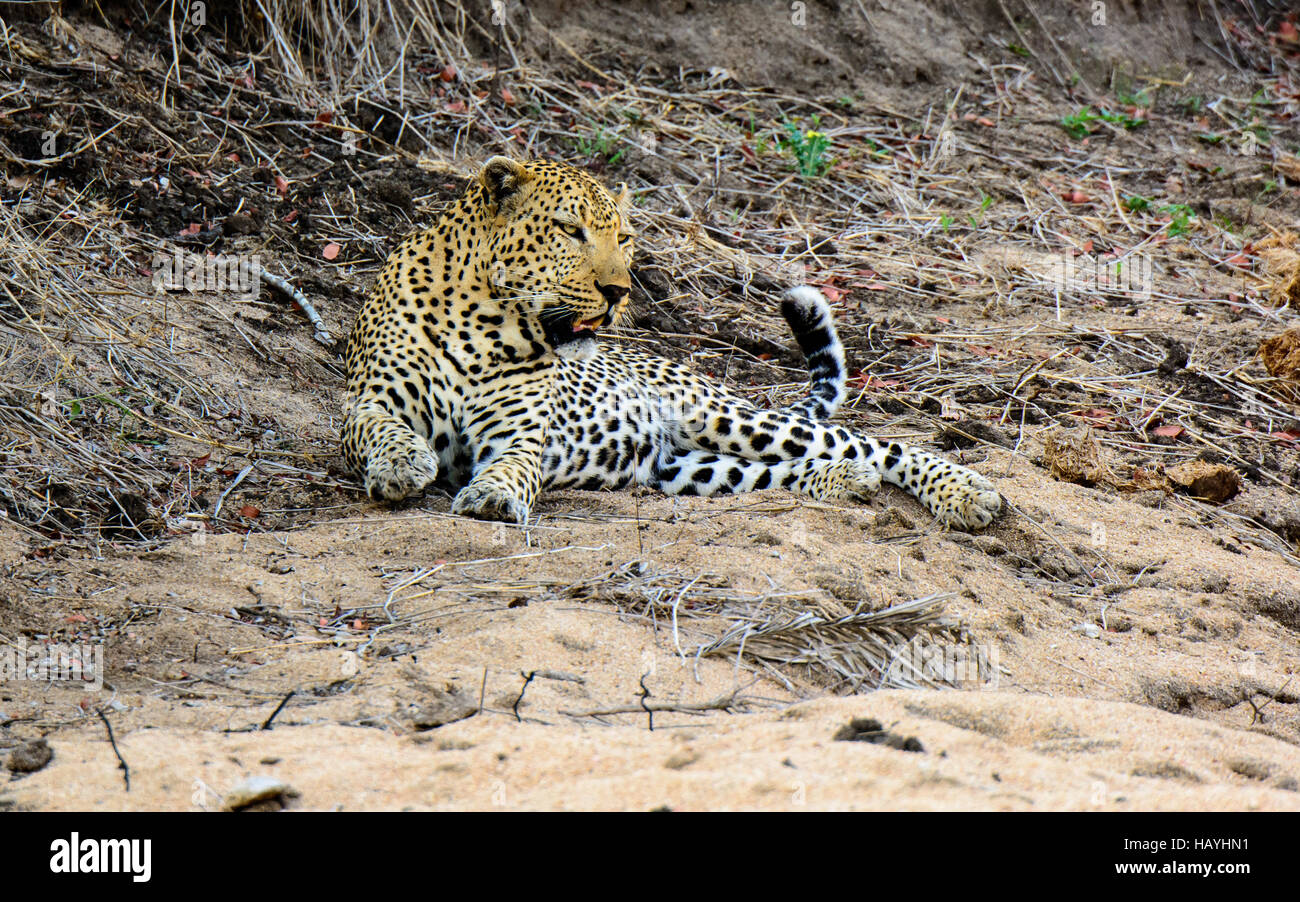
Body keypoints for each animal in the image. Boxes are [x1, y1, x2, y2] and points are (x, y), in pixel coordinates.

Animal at [341, 156, 1001, 530]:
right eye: (569, 230)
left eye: (626, 238)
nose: (617, 292)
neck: (483, 318)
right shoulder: (364, 403)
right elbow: (380, 428)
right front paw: (403, 465)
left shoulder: (521, 435)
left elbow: (513, 467)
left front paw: (492, 496)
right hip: (685, 467)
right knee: (782, 470)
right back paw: (842, 481)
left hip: (727, 418)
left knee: (878, 444)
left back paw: (966, 494)